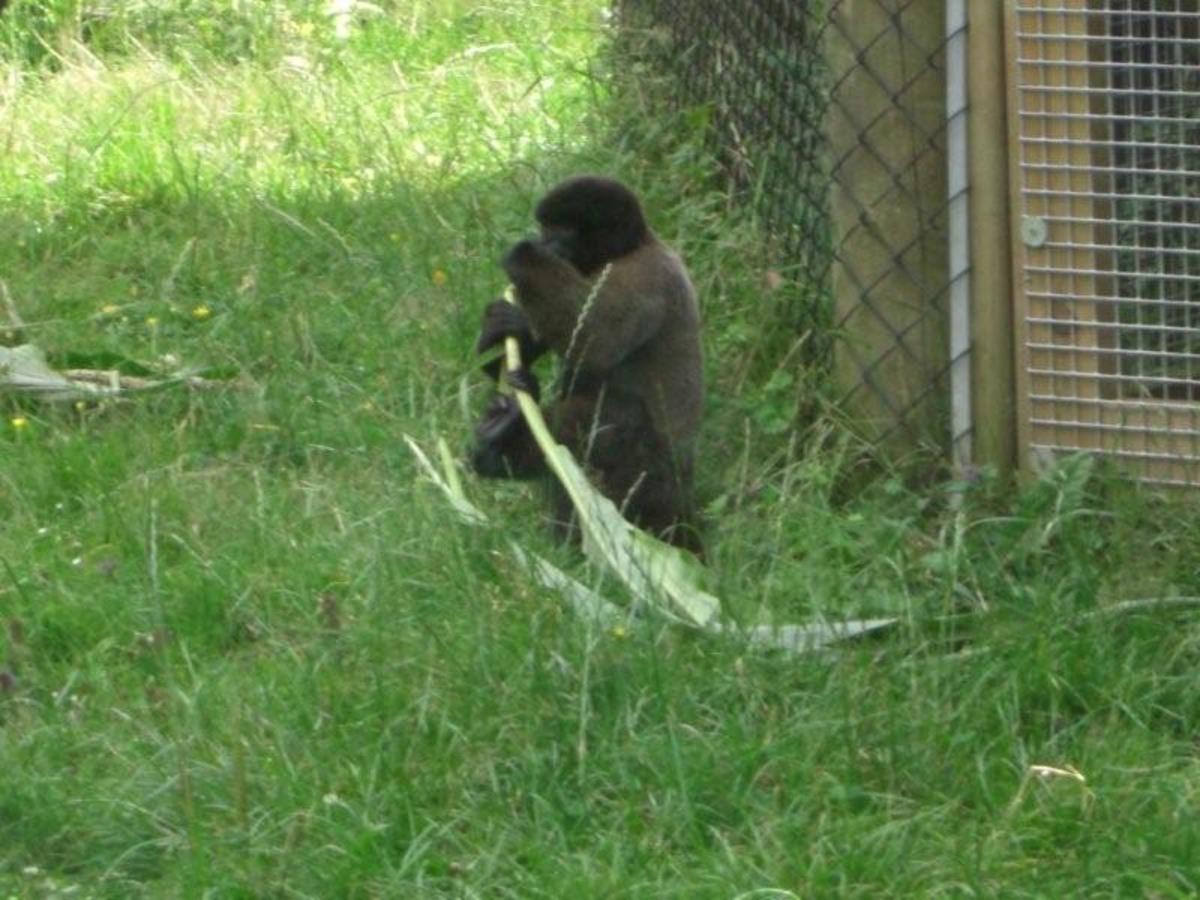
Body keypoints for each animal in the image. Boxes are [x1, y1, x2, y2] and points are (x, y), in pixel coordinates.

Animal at [471, 175, 704, 552]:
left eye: (561, 230)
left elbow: (598, 340)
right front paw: (500, 326)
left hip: (650, 467)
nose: (543, 243)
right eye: (545, 228)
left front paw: (523, 257)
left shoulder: (641, 274)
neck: (629, 248)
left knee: (618, 416)